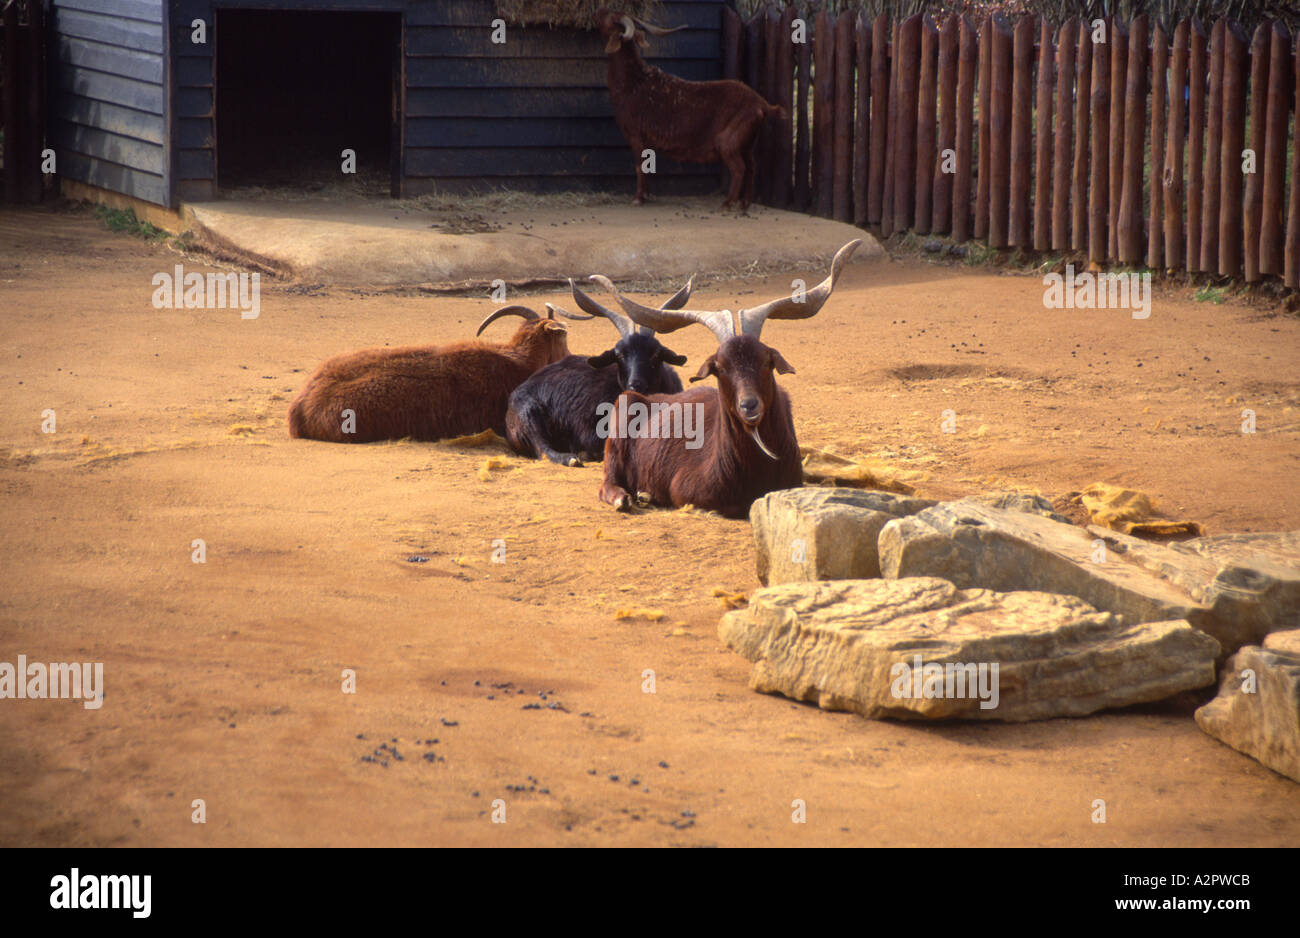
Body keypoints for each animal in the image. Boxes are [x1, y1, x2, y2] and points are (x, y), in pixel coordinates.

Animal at [505, 277, 693, 466]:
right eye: (619, 355)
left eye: (655, 353)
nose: (635, 385)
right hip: (529, 412)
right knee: (542, 449)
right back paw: (571, 458)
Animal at [588, 240, 862, 518]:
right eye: (719, 368)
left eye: (767, 361)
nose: (749, 406)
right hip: (618, 428)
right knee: (607, 485)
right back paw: (628, 498)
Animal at [594, 8, 783, 212]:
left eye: (611, 18)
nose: (598, 11)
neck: (634, 82)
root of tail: (761, 104)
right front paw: (645, 195)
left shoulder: (636, 136)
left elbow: (640, 166)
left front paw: (638, 198)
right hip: (747, 142)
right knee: (751, 167)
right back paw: (744, 203)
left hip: (729, 142)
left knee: (739, 168)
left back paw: (727, 204)